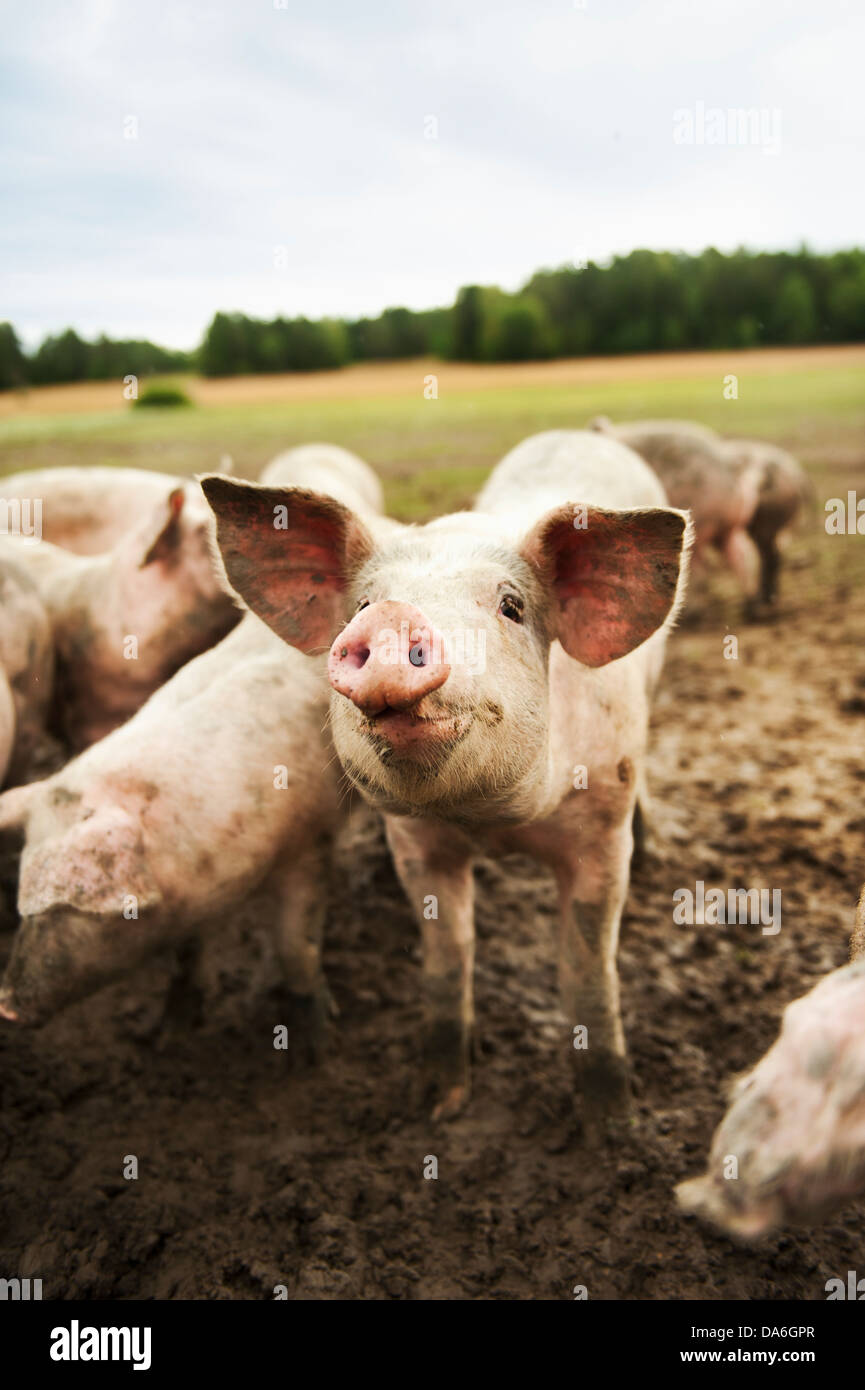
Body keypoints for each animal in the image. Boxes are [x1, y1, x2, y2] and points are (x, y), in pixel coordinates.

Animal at [201, 429, 690, 1124]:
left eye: (512, 606)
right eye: (363, 604)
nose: (392, 616)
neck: (491, 826)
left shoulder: (602, 829)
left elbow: (588, 964)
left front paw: (612, 1122)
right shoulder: (415, 841)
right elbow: (447, 952)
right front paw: (437, 1104)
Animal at [589, 417, 762, 614]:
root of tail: (731, 464)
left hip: (701, 523)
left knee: (702, 569)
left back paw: (694, 612)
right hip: (729, 528)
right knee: (742, 556)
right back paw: (749, 606)